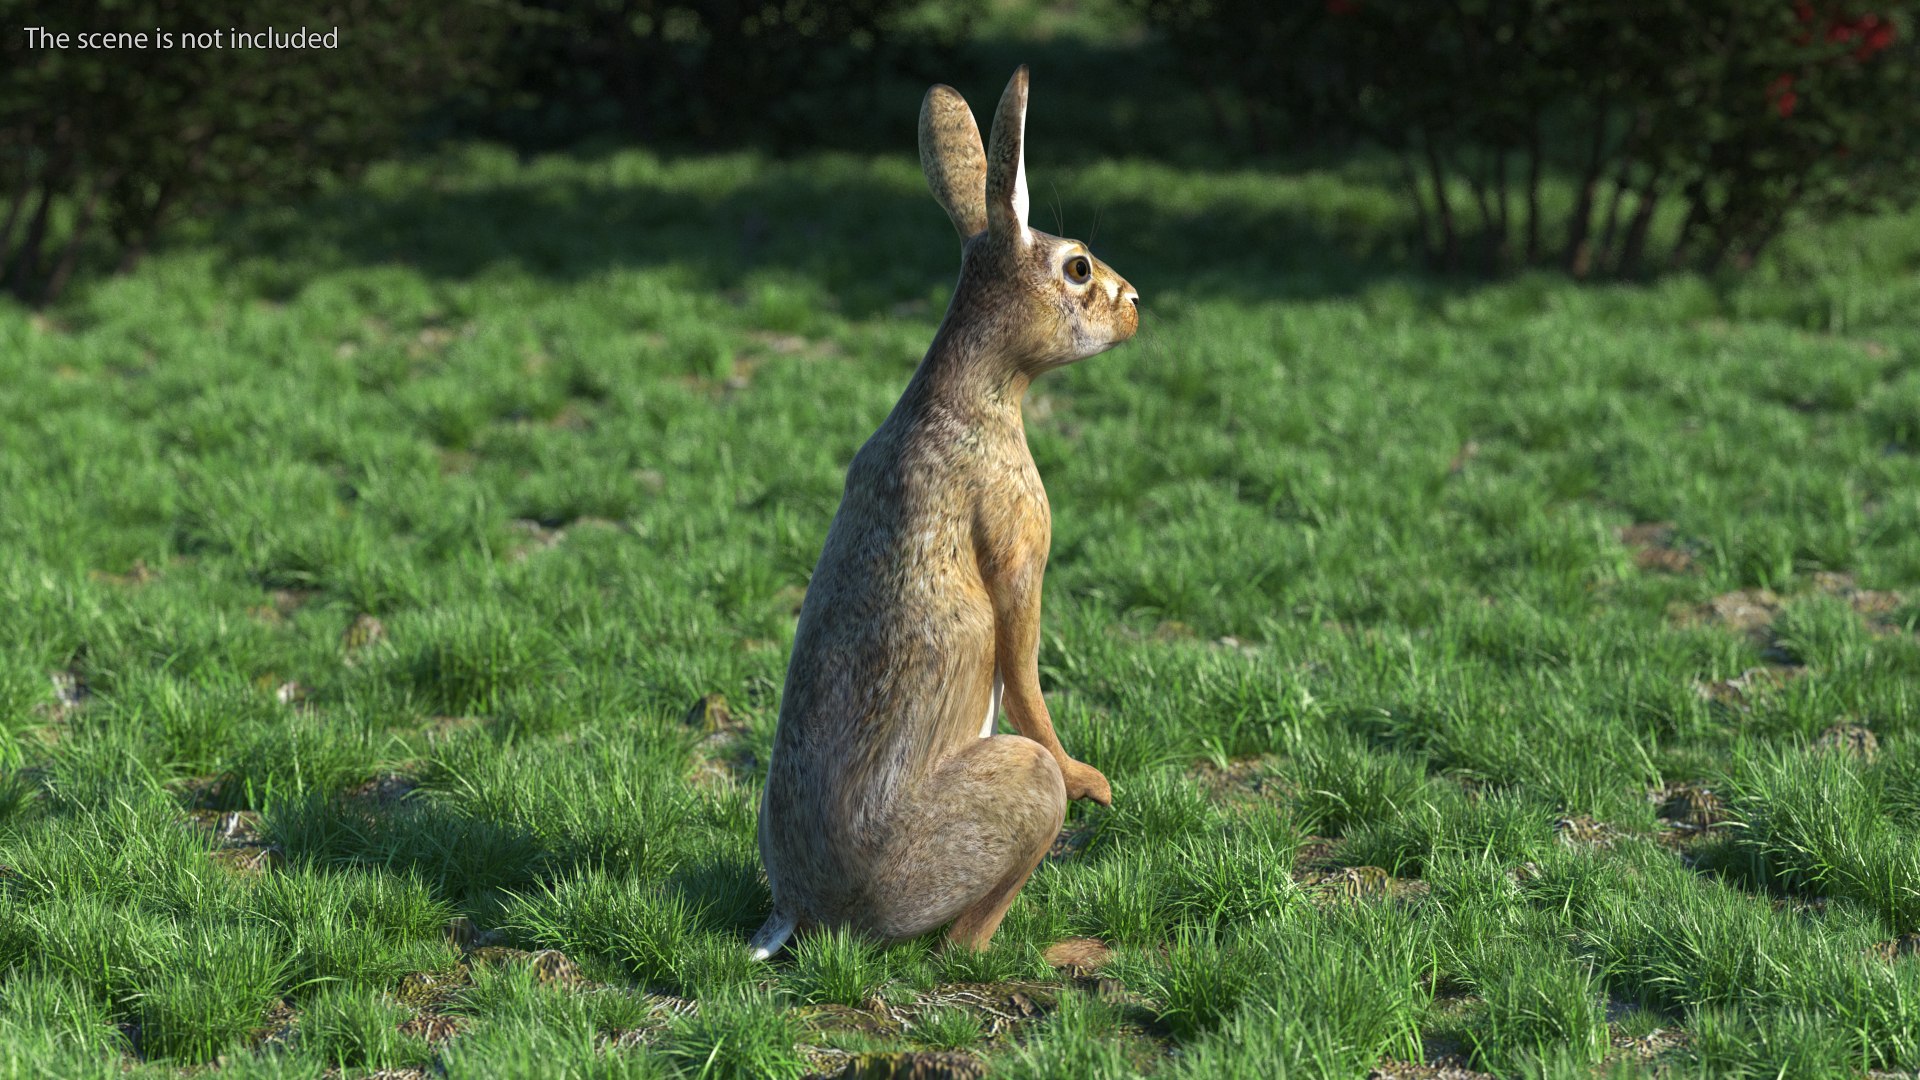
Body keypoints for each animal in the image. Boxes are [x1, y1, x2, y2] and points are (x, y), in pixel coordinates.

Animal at [750, 66, 1139, 960]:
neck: (985, 391)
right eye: (1076, 267)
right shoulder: (1019, 545)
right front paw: (1095, 784)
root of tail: (810, 913)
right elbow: (1025, 667)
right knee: (965, 930)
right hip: (1009, 794)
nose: (1136, 302)